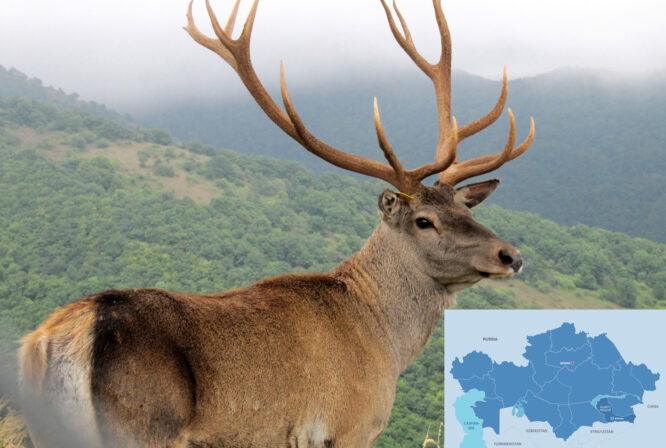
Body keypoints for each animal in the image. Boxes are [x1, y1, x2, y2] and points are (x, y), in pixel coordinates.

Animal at [17, 0, 534, 447]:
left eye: (468, 211)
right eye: (424, 221)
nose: (511, 255)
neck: (383, 340)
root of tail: (54, 342)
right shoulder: (346, 428)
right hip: (141, 426)